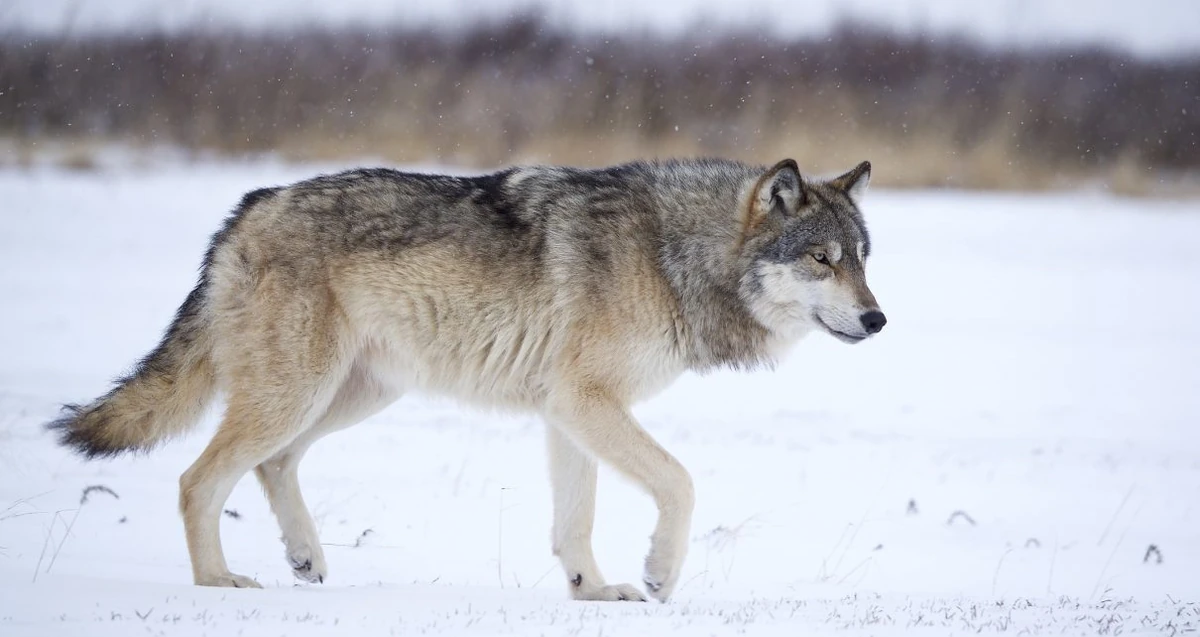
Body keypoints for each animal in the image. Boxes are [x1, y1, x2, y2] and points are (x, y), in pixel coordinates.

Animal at [48, 157, 885, 601]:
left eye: (863, 257)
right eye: (821, 259)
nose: (878, 319)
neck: (674, 253)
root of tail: (249, 205)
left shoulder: (567, 411)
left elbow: (574, 523)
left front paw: (594, 591)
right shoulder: (586, 401)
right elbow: (679, 481)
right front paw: (656, 571)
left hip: (351, 393)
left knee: (271, 463)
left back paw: (305, 559)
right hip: (299, 392)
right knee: (198, 478)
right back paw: (217, 581)